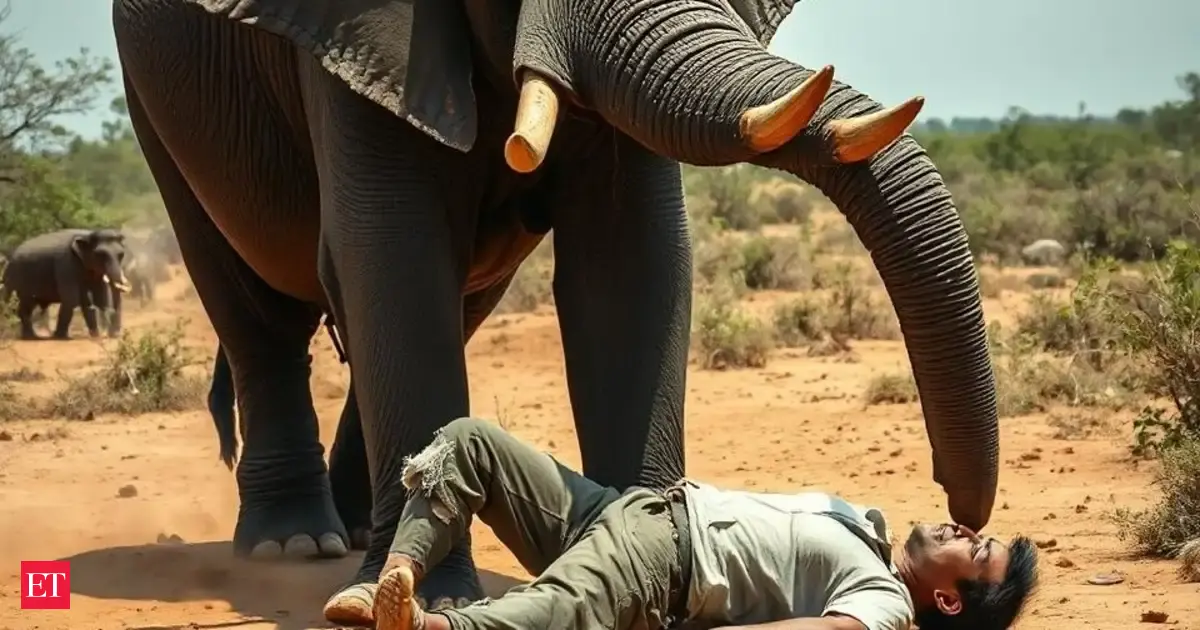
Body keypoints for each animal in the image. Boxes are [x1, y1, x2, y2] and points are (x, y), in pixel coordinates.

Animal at [1, 228, 132, 340]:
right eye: (101, 254)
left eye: (121, 255)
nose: (113, 335)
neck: (88, 234)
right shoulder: (65, 264)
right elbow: (71, 299)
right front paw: (61, 337)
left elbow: (97, 299)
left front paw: (95, 335)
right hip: (14, 278)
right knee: (19, 306)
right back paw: (28, 337)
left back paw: (30, 336)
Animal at [112, 0, 1001, 623]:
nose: (960, 510)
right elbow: (392, 254)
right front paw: (442, 601)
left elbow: (631, 256)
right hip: (157, 105)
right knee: (252, 313)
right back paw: (296, 545)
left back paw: (359, 538)